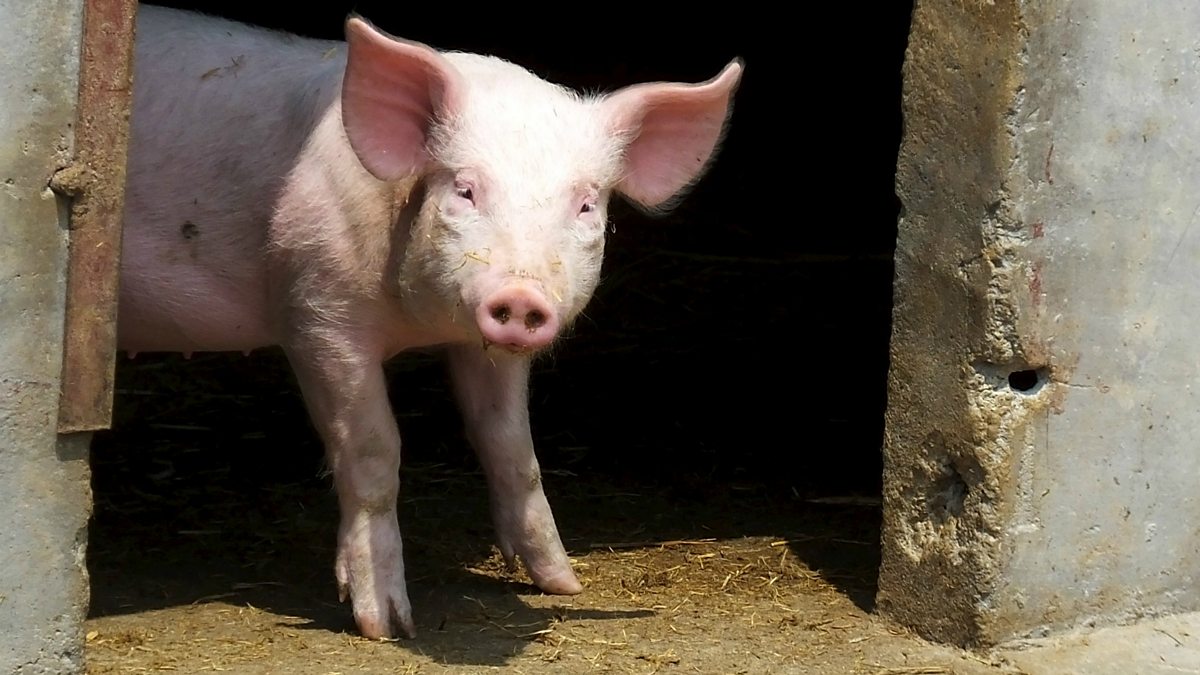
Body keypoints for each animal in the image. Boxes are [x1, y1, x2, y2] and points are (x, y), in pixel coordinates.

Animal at [119, 4, 742, 639]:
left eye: (587, 203)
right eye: (465, 189)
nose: (522, 294)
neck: (416, 323)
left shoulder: (483, 348)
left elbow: (510, 444)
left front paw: (562, 583)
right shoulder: (317, 314)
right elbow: (373, 451)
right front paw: (385, 626)